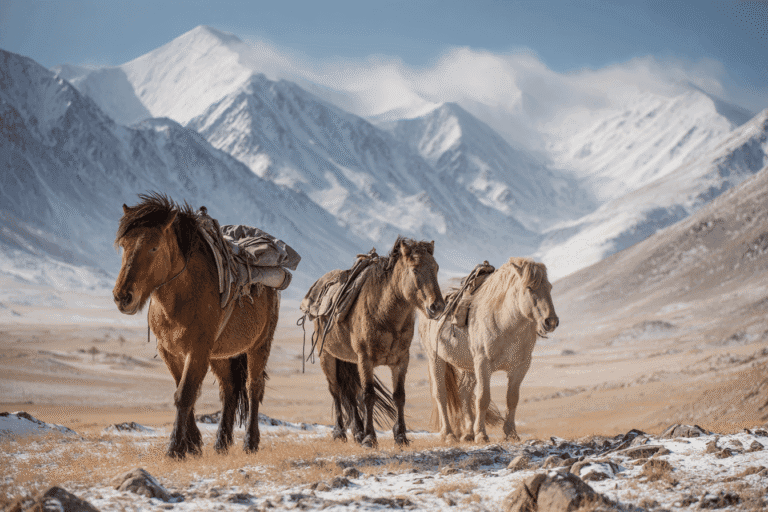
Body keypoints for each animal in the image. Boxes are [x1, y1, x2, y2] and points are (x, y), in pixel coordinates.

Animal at [112, 192, 279, 458]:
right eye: (124, 246)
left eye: (154, 247)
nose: (123, 297)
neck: (181, 298)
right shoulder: (169, 351)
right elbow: (181, 390)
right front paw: (192, 444)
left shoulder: (197, 350)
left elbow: (184, 394)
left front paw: (175, 448)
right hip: (220, 354)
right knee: (229, 389)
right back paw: (221, 443)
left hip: (259, 345)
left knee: (253, 387)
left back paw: (250, 443)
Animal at [313, 237, 445, 448]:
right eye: (415, 269)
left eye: (436, 268)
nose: (437, 307)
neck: (384, 312)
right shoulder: (365, 359)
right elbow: (368, 395)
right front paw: (370, 438)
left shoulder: (401, 360)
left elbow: (399, 396)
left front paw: (400, 436)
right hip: (327, 357)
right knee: (335, 390)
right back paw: (340, 432)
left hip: (350, 360)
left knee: (350, 392)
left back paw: (358, 432)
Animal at [419, 257, 558, 443]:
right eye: (529, 287)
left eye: (549, 287)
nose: (551, 322)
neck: (505, 322)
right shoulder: (483, 364)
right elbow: (482, 398)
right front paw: (481, 435)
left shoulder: (520, 368)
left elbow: (512, 398)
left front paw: (511, 433)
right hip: (436, 359)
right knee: (440, 395)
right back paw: (448, 434)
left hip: (469, 367)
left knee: (464, 393)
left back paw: (467, 433)